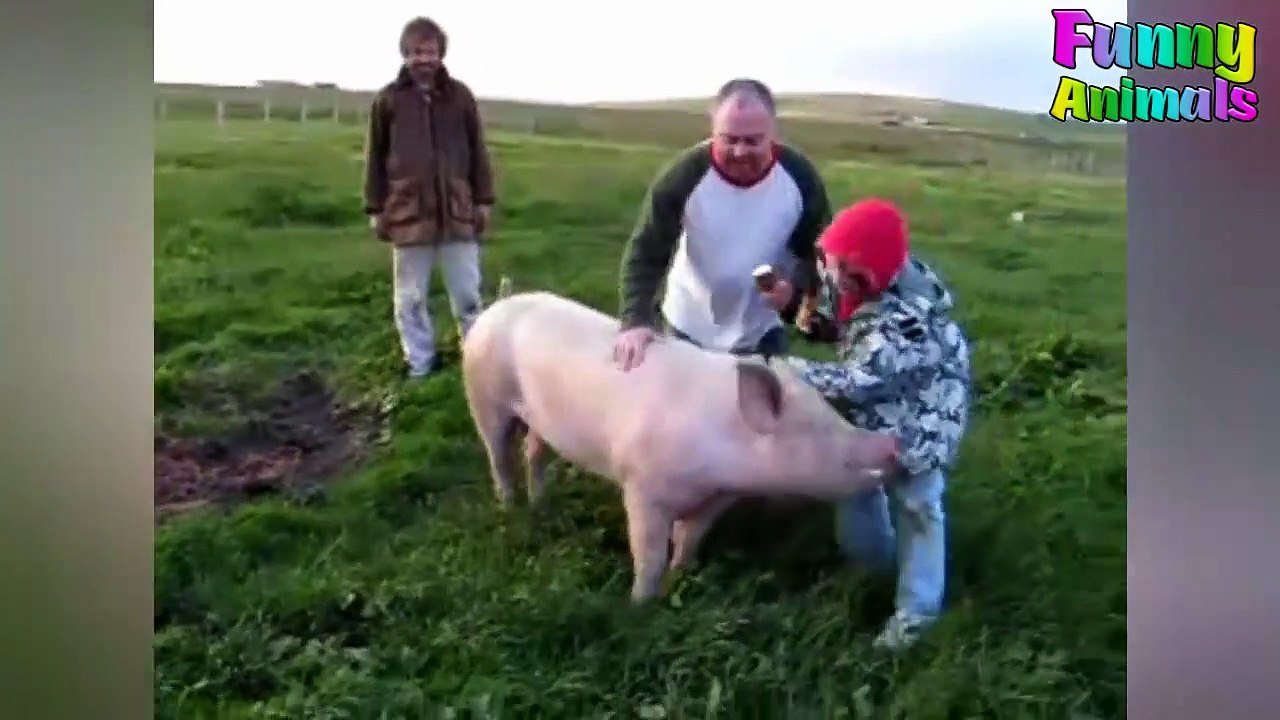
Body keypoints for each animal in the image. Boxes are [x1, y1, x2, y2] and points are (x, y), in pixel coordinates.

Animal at [460, 289, 898, 602]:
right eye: (817, 426)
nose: (891, 442)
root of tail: (492, 309)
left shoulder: (716, 497)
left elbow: (690, 538)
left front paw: (683, 578)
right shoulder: (642, 488)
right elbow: (649, 554)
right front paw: (640, 604)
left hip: (543, 422)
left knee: (533, 454)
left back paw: (541, 506)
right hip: (484, 396)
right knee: (499, 456)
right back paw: (511, 508)